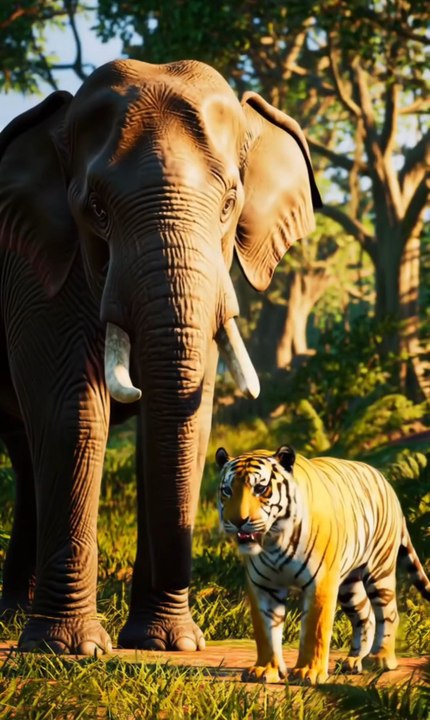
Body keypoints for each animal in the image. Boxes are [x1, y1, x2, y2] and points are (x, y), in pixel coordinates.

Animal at [0, 59, 321, 654]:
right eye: (96, 209)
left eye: (229, 203)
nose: (243, 529)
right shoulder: (37, 266)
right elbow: (72, 412)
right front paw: (73, 650)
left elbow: (185, 422)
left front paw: (170, 644)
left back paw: (13, 616)